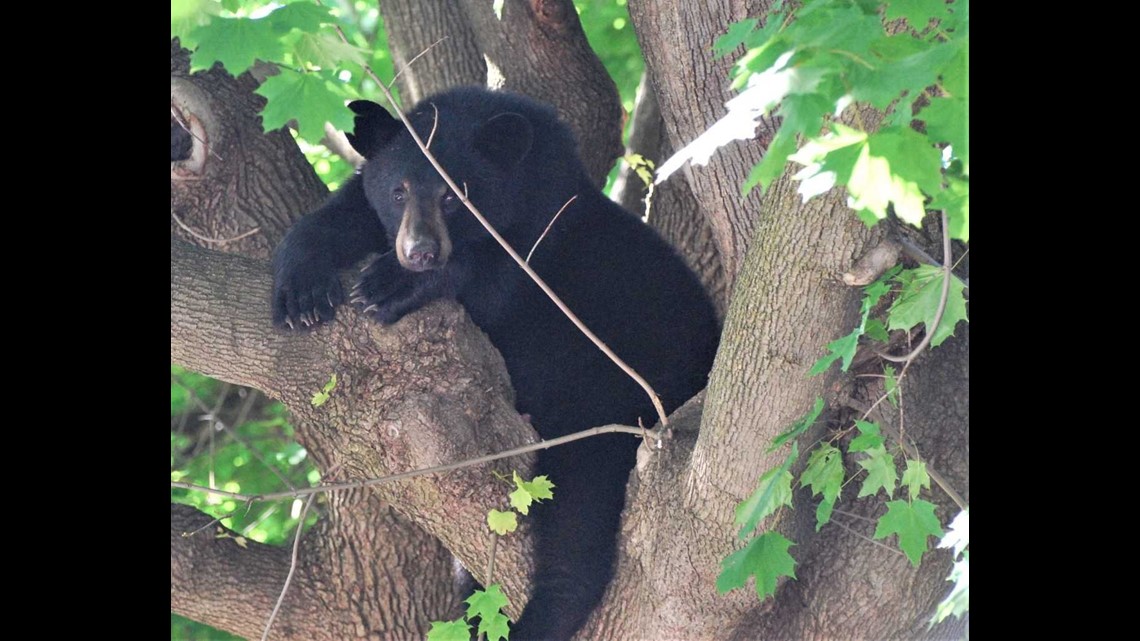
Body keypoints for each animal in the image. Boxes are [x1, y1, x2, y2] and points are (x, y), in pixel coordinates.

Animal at [272, 86, 720, 640]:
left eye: (453, 196)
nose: (419, 251)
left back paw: (540, 615)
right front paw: (301, 290)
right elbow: (340, 215)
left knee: (579, 502)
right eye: (398, 192)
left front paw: (389, 284)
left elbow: (495, 276)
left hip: (612, 399)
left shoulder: (545, 226)